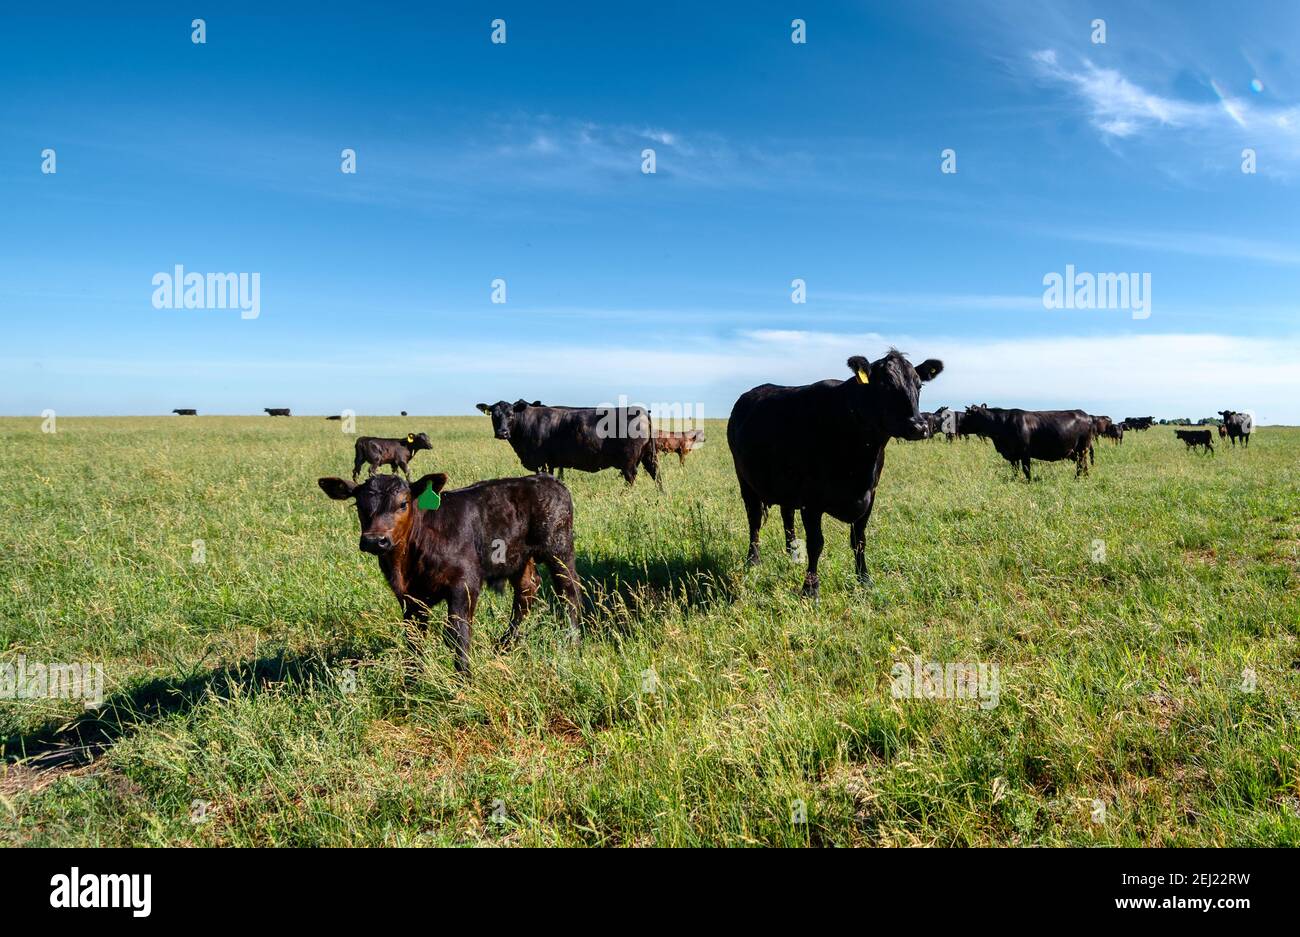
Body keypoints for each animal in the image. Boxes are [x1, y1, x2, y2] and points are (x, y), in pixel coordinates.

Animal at [317, 472, 582, 675]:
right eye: (360, 506)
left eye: (403, 504)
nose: (375, 540)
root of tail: (546, 478)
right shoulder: (410, 599)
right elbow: (414, 638)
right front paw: (413, 680)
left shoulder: (465, 584)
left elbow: (458, 633)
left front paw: (464, 682)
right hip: (519, 558)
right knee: (527, 591)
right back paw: (503, 647)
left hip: (559, 548)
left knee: (569, 589)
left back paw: (572, 641)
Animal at [476, 400, 660, 488]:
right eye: (494, 415)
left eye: (511, 414)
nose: (502, 433)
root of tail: (641, 410)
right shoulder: (553, 463)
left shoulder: (541, 462)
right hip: (648, 456)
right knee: (656, 474)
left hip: (629, 462)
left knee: (631, 478)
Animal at [727, 350, 943, 598]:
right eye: (885, 385)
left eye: (919, 385)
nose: (919, 427)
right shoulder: (811, 500)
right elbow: (816, 543)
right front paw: (810, 588)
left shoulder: (870, 494)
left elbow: (859, 540)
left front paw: (864, 580)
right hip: (745, 480)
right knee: (754, 520)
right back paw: (753, 561)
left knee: (786, 515)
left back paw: (792, 553)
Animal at [960, 406, 1095, 481]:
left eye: (967, 415)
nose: (959, 427)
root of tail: (1086, 415)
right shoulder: (1013, 455)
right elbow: (1015, 469)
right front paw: (1015, 480)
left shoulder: (1025, 452)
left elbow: (1026, 469)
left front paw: (1029, 481)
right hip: (1078, 451)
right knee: (1083, 465)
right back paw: (1084, 478)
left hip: (1082, 449)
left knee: (1081, 465)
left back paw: (1077, 479)